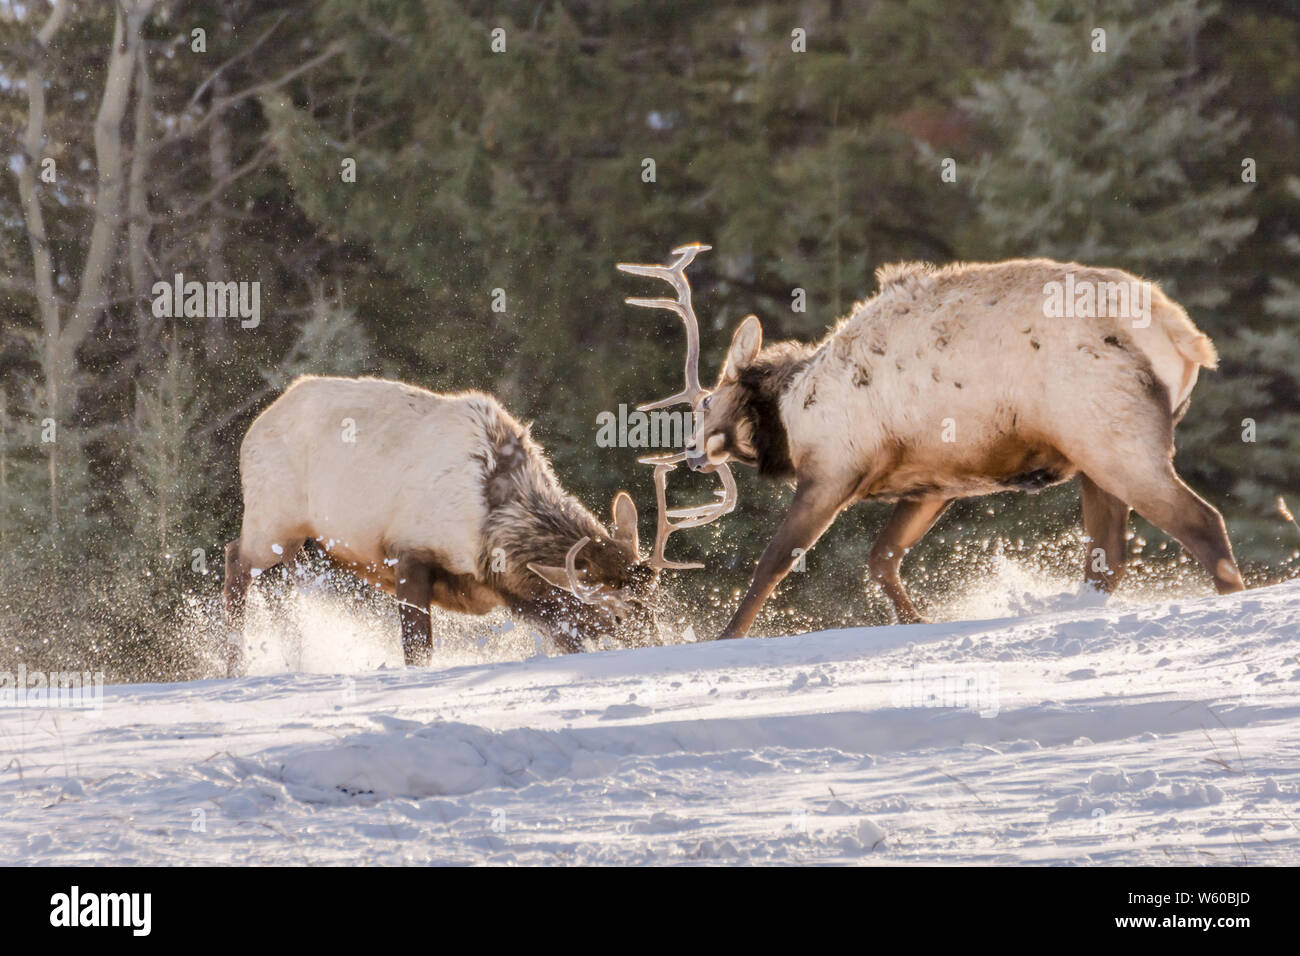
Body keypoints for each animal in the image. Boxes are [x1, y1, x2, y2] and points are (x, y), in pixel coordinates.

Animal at [223, 376, 660, 675]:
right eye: (617, 615)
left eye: (654, 598)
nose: (659, 646)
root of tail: (251, 431)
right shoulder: (409, 552)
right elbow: (417, 651)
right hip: (274, 522)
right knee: (236, 561)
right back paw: (235, 666)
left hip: (297, 545)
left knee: (279, 585)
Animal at [679, 257, 1245, 638]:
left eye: (705, 401)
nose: (690, 454)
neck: (785, 415)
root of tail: (1186, 339)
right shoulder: (933, 483)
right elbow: (882, 559)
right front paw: (917, 621)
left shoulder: (832, 472)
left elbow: (773, 562)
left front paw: (726, 637)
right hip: (1095, 458)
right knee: (1108, 557)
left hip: (1114, 438)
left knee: (1202, 522)